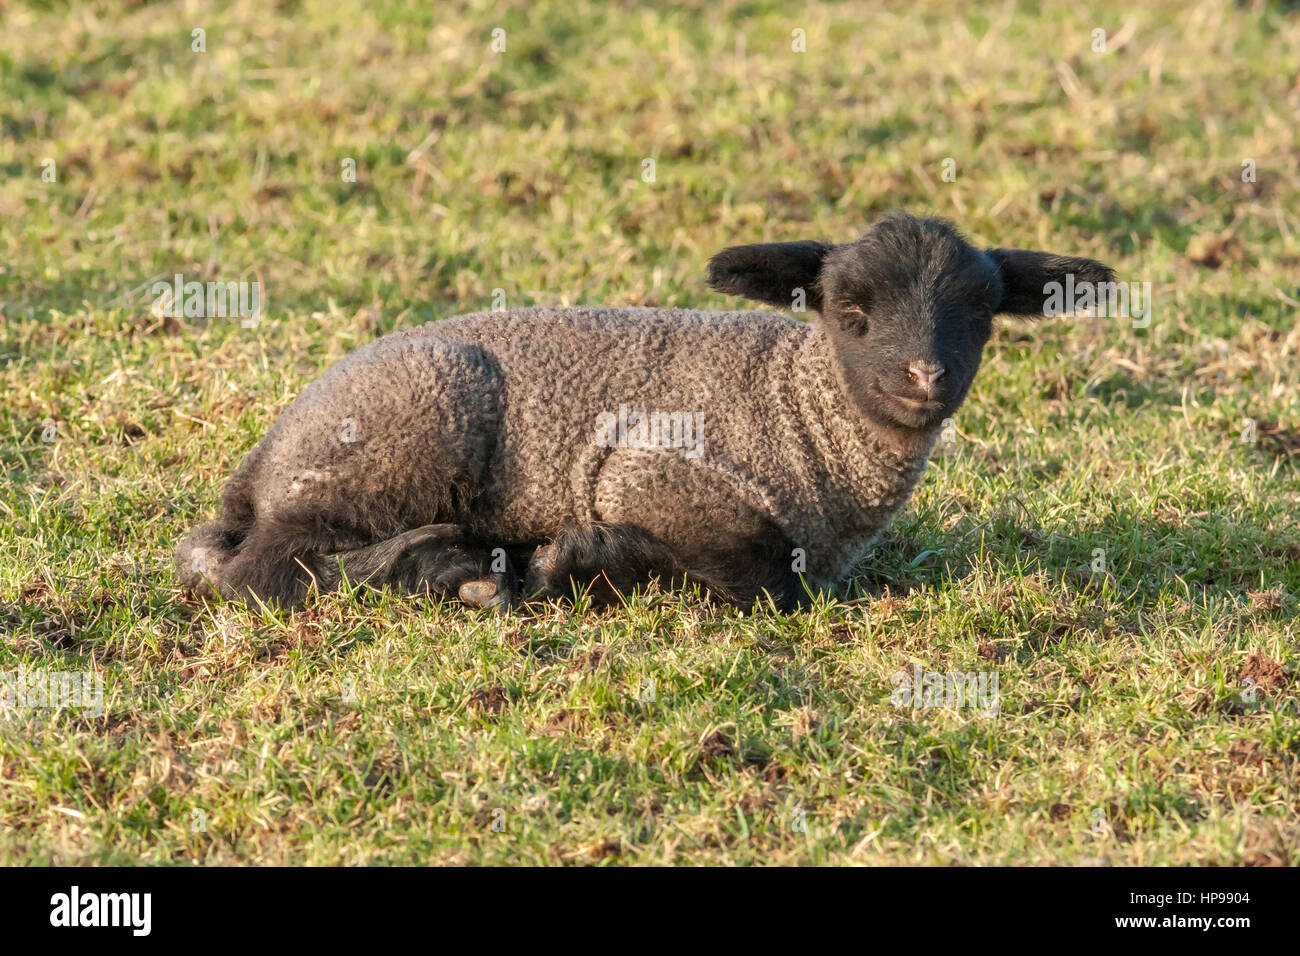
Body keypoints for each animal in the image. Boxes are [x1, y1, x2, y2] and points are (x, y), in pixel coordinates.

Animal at [175, 213, 1112, 611]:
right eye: (851, 313)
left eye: (981, 315)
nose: (924, 375)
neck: (800, 412)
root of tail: (256, 466)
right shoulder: (648, 471)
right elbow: (765, 581)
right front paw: (578, 562)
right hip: (411, 425)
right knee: (266, 572)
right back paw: (452, 568)